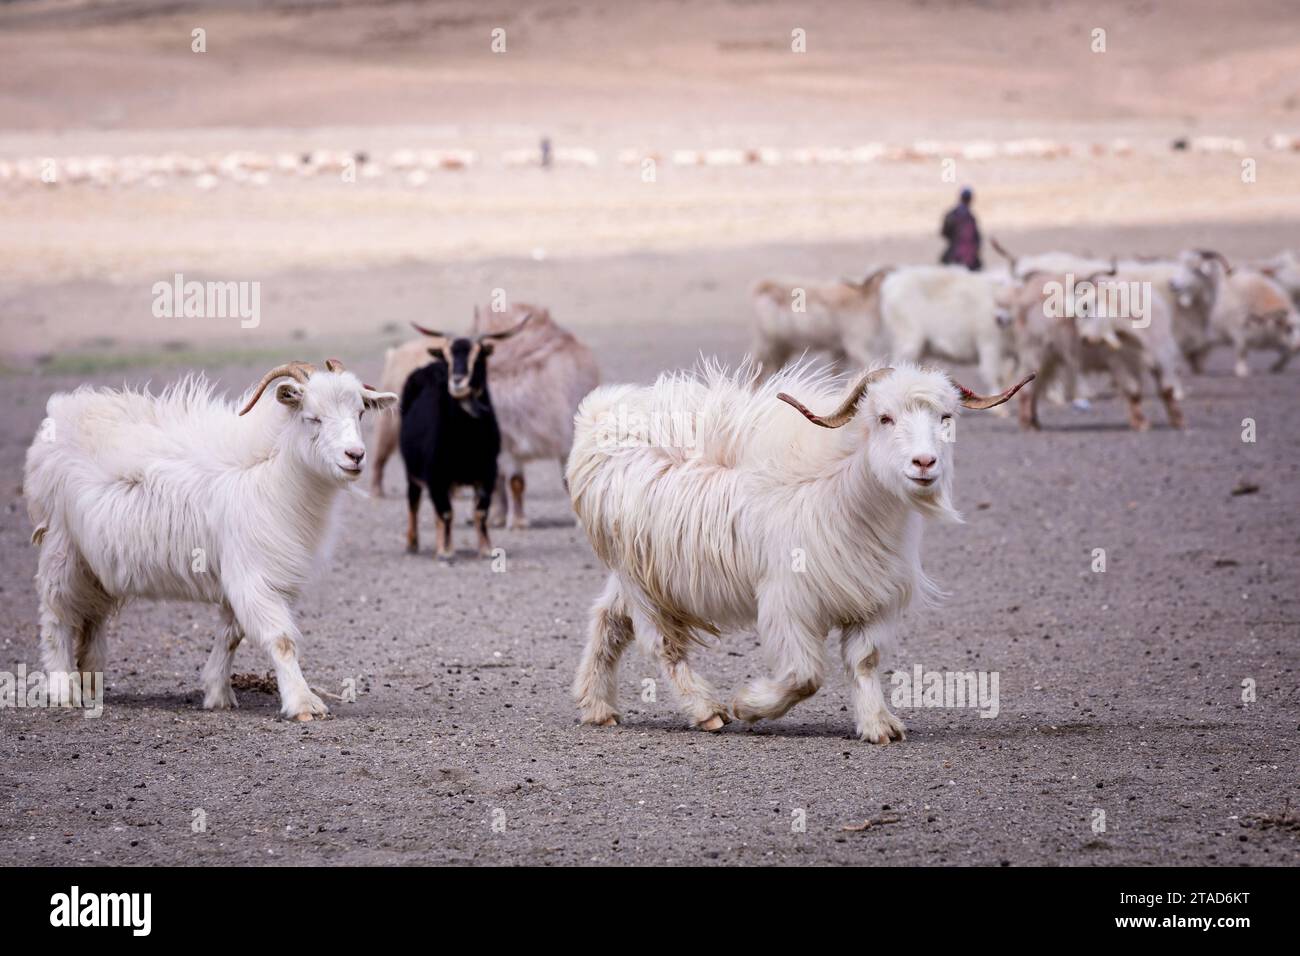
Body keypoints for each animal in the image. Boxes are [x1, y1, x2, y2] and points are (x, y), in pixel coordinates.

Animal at [23, 360, 397, 720]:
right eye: (312, 417)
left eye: (360, 413)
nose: (355, 455)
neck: (271, 468)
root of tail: (59, 413)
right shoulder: (252, 574)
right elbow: (281, 640)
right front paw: (303, 703)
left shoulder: (240, 574)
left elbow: (231, 636)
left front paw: (218, 694)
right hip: (61, 545)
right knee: (56, 612)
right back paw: (63, 689)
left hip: (94, 562)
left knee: (92, 614)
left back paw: (91, 678)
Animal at [568, 361, 1031, 742]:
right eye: (884, 417)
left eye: (946, 417)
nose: (924, 462)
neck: (839, 489)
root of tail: (598, 415)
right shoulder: (789, 601)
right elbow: (806, 676)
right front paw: (748, 705)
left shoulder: (874, 602)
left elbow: (864, 661)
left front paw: (879, 725)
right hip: (642, 581)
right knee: (661, 644)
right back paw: (706, 711)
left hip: (640, 575)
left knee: (608, 619)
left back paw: (597, 706)